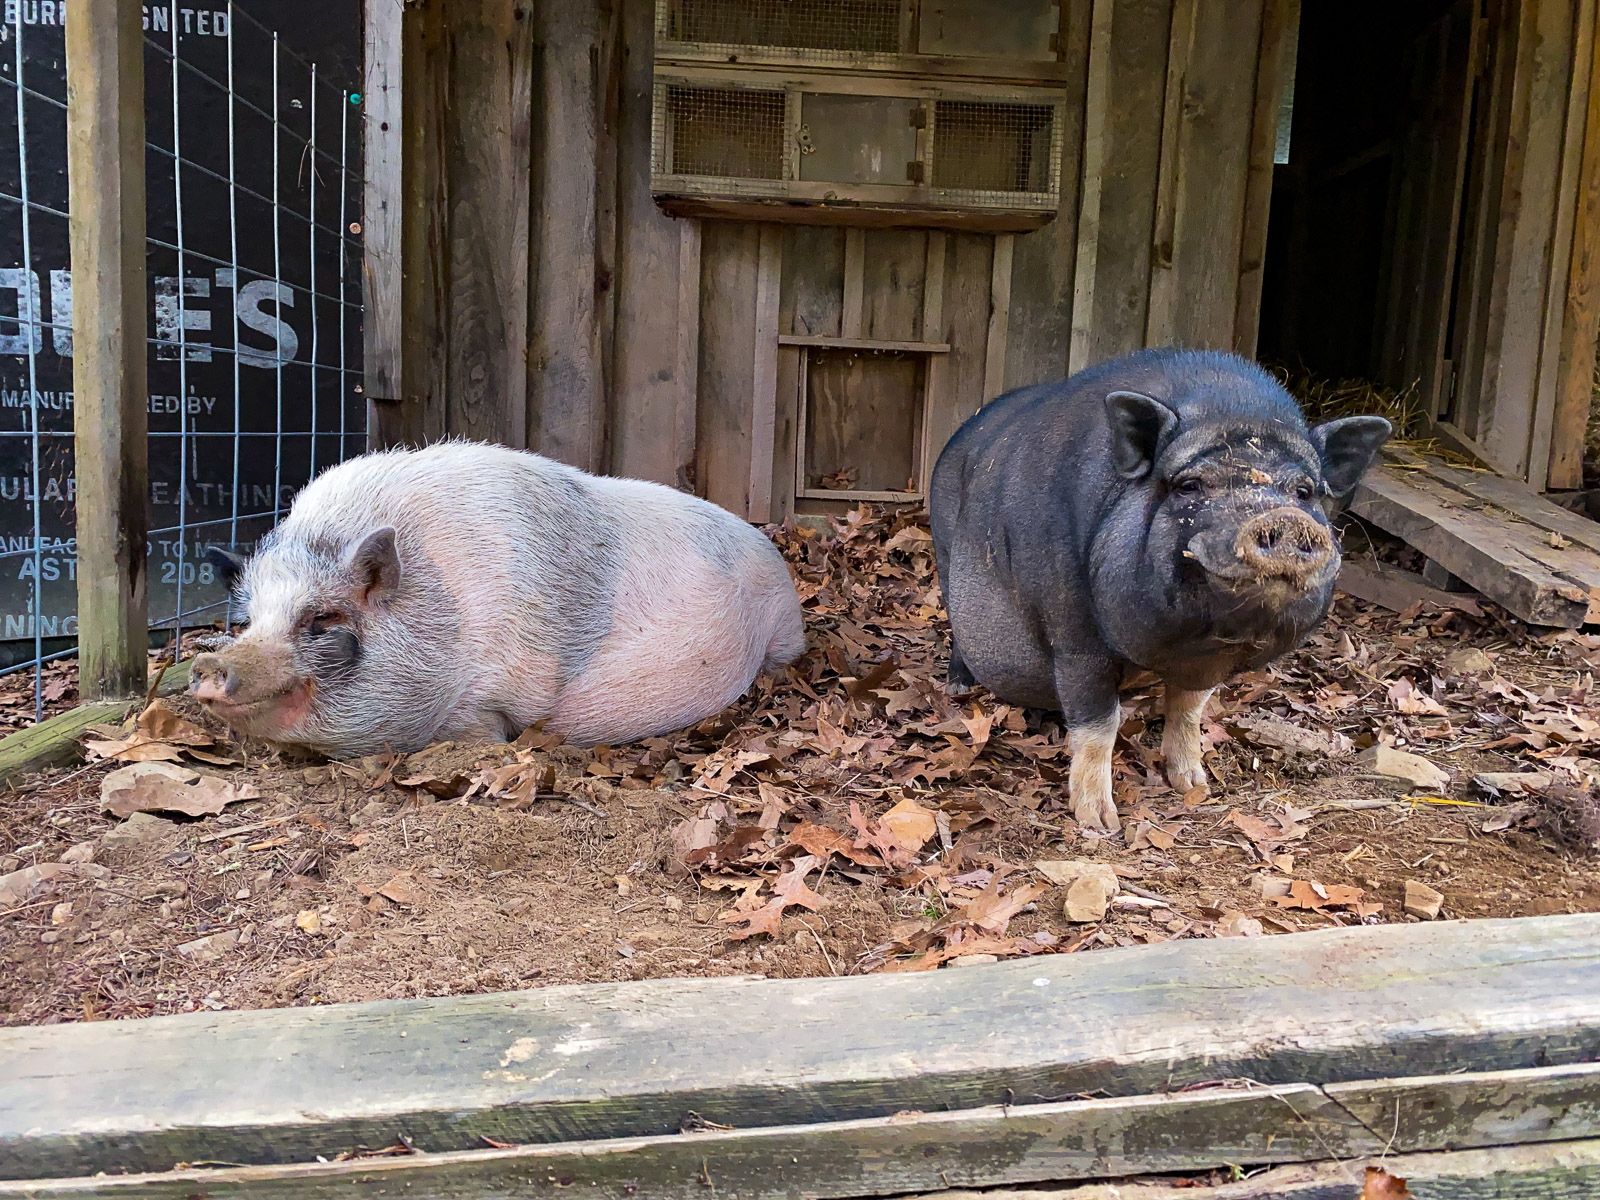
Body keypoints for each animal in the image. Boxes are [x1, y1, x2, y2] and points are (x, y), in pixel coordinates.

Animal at [929, 349, 1390, 833]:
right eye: (1189, 485)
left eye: (1303, 492)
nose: (1283, 518)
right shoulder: (1073, 636)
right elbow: (1098, 725)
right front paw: (1100, 822)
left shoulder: (1204, 665)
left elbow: (1188, 708)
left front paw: (1194, 785)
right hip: (945, 550)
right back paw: (959, 688)